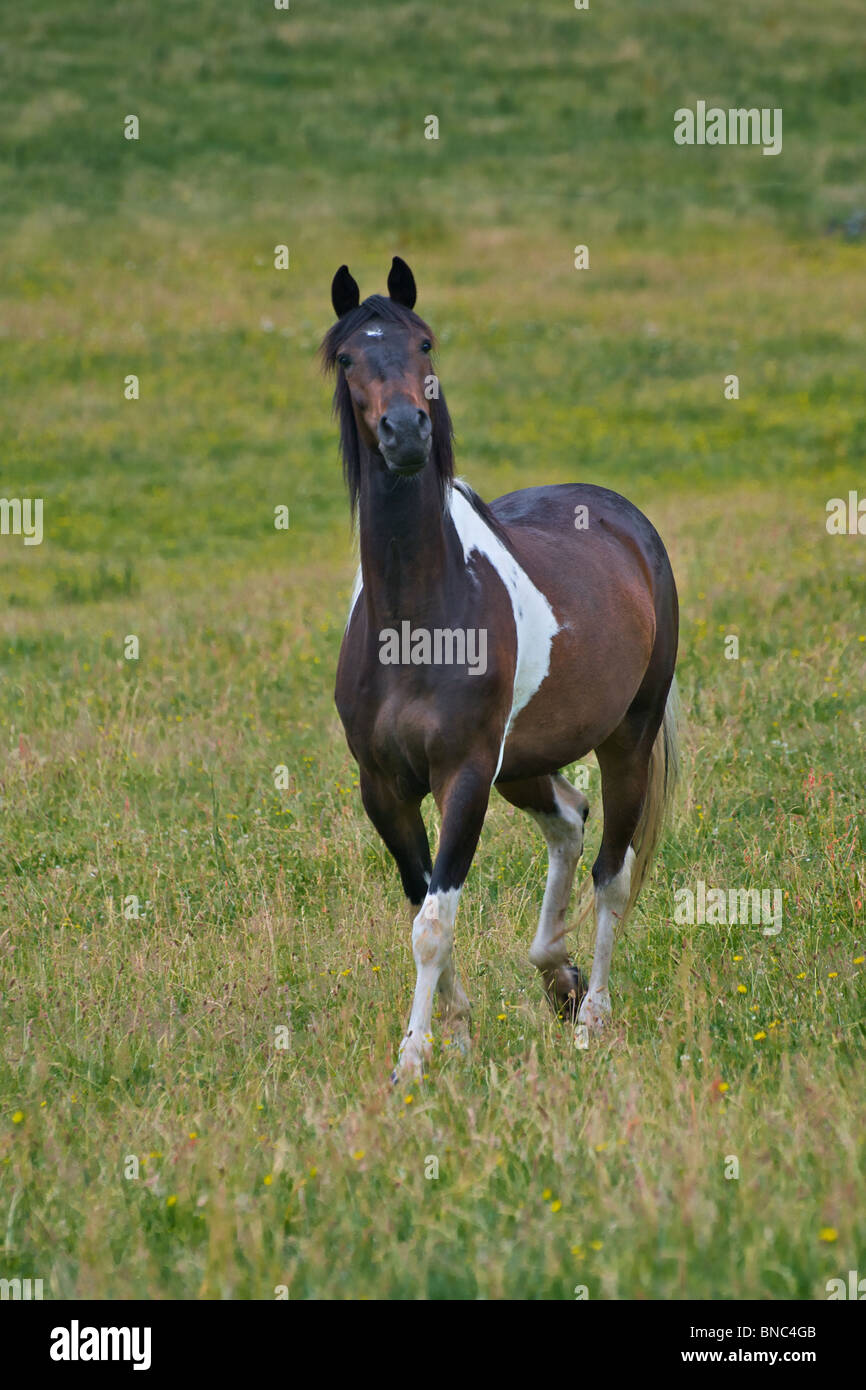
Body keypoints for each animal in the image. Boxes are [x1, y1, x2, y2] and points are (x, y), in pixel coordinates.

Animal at [323, 256, 679, 1082]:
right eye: (348, 357)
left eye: (425, 343)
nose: (405, 432)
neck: (418, 620)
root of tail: (626, 521)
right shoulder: (383, 787)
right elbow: (421, 901)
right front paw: (455, 1031)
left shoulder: (463, 774)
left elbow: (433, 919)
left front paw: (413, 1057)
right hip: (523, 765)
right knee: (570, 823)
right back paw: (557, 975)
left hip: (626, 738)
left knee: (611, 872)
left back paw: (592, 1013)